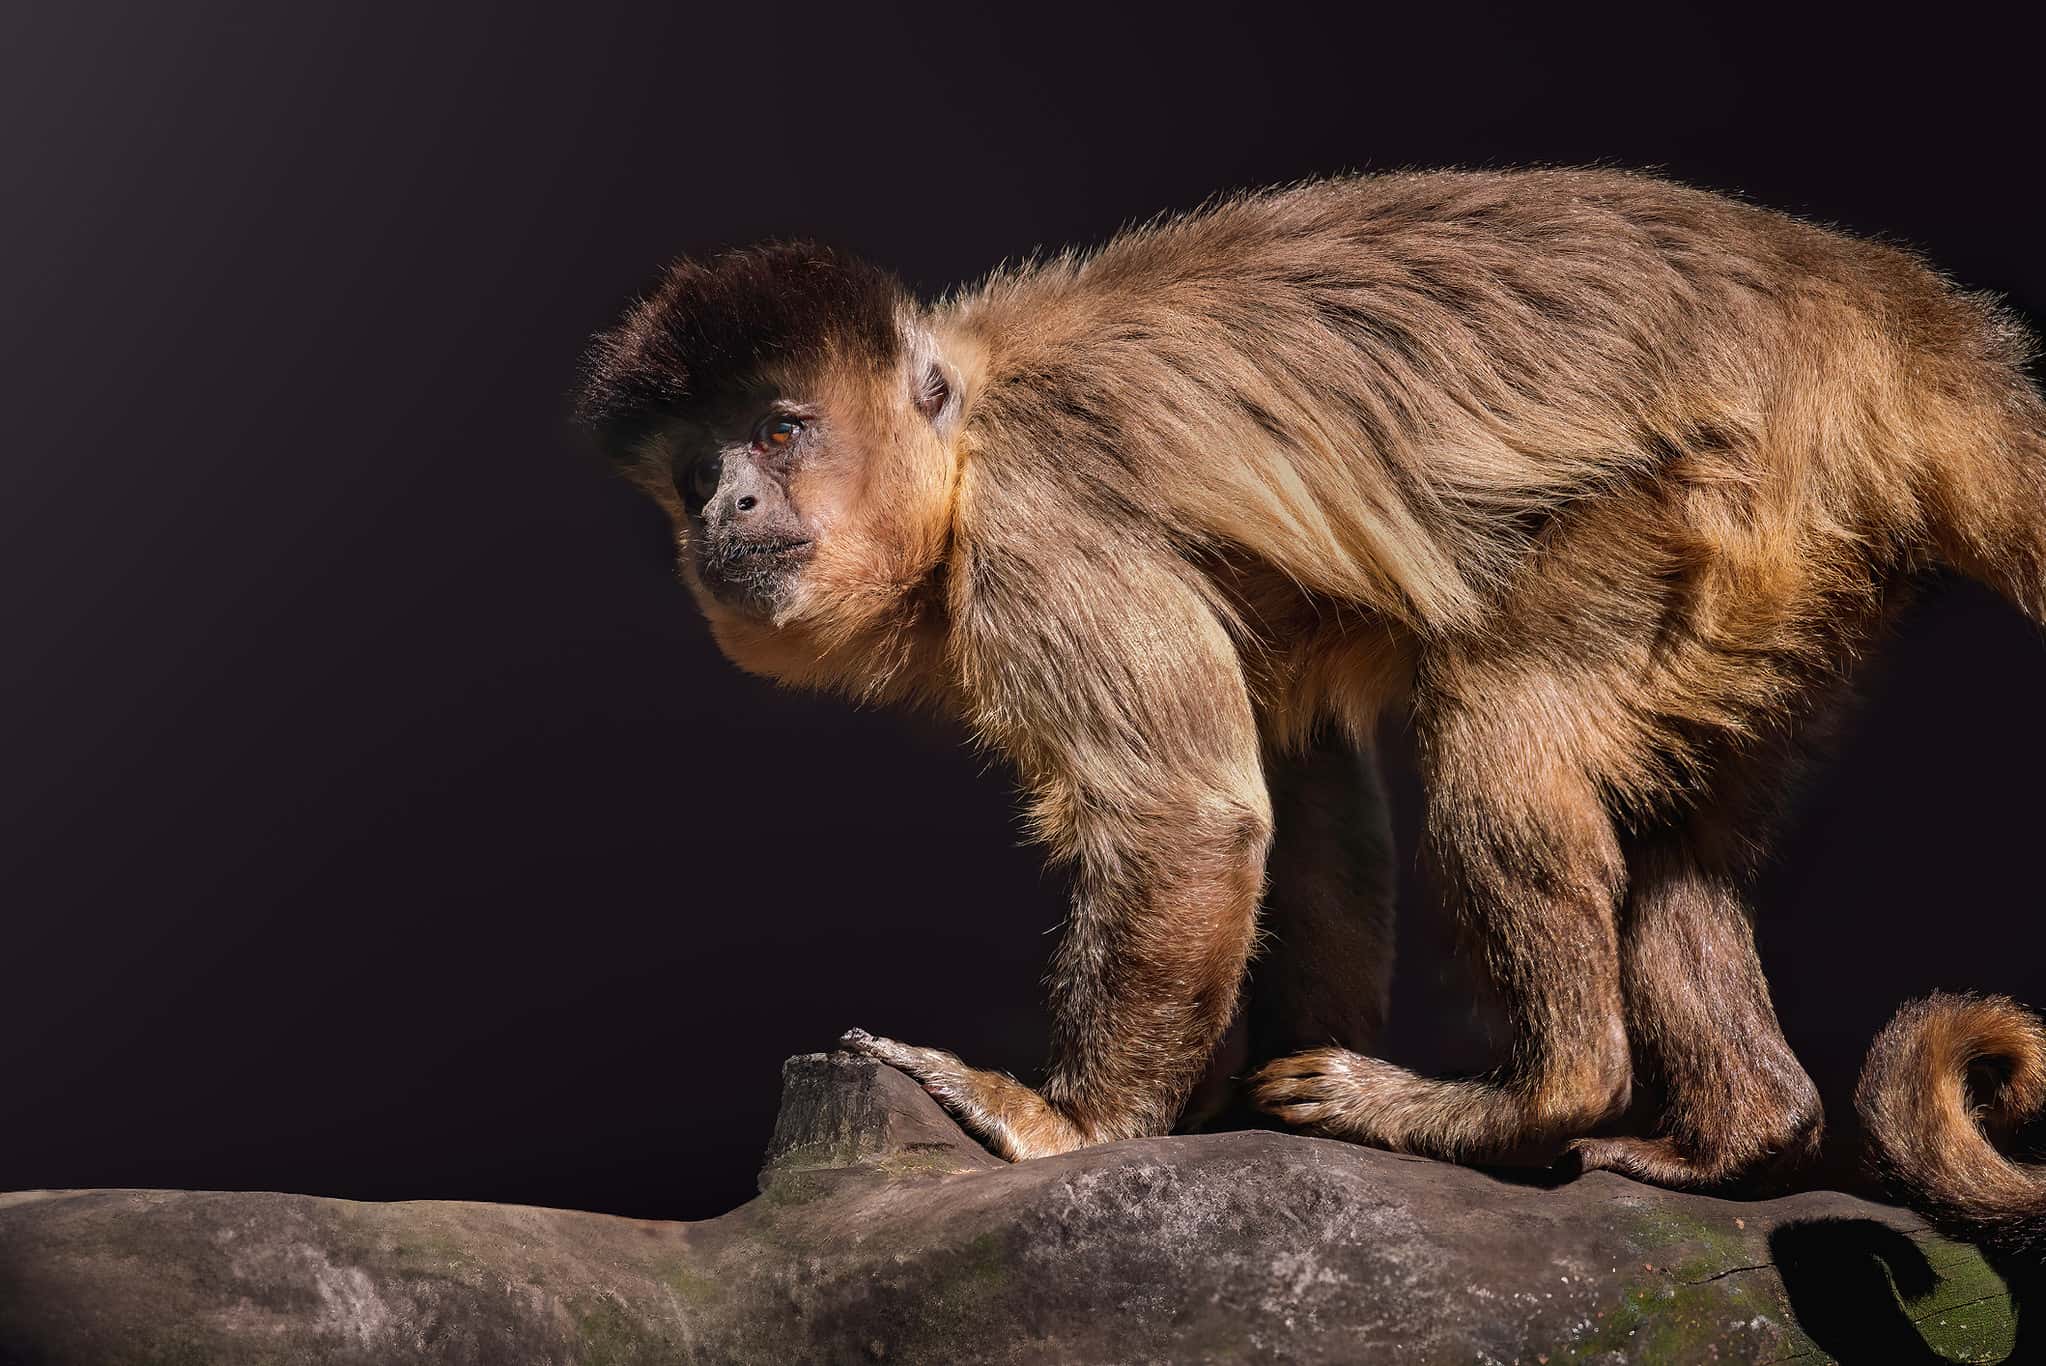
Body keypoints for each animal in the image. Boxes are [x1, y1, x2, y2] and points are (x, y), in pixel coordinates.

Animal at [575, 168, 2046, 1253]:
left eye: (778, 434)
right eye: (699, 468)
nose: (727, 505)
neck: (968, 433)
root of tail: (1875, 309)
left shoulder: (1034, 528)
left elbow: (1191, 815)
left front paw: (1074, 1130)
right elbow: (1308, 801)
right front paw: (1217, 1099)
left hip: (1733, 490)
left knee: (1496, 722)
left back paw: (1538, 1097)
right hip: (1795, 565)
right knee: (1676, 820)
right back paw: (1742, 1133)